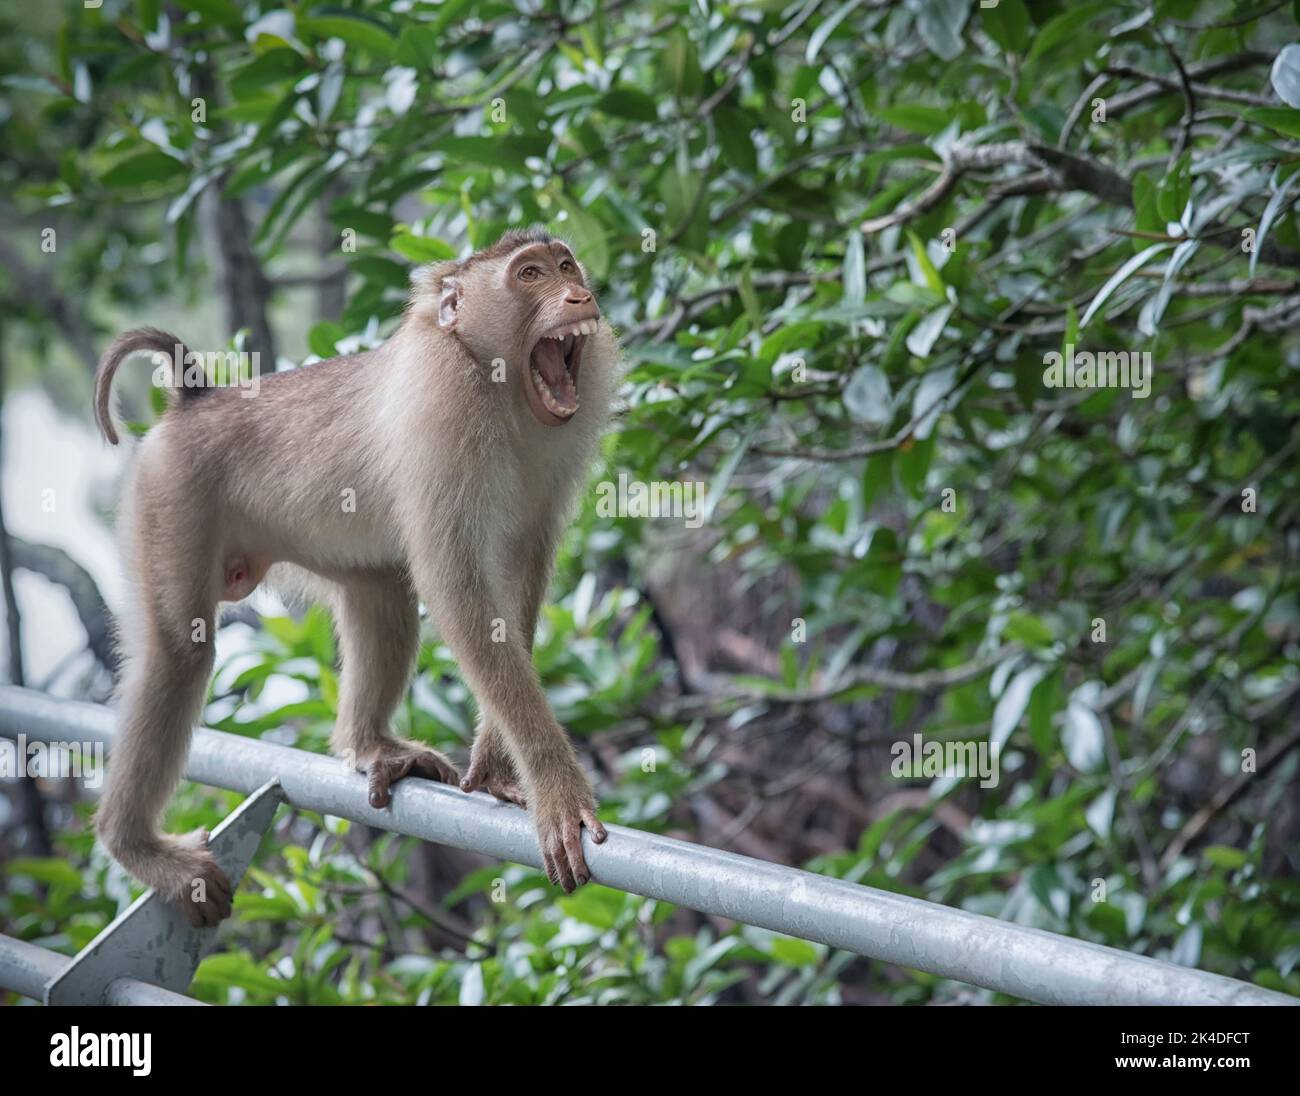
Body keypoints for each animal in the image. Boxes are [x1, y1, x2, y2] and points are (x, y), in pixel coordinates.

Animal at [92, 229, 618, 926]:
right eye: (529, 274)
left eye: (565, 264)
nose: (580, 294)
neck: (494, 379)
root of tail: (194, 399)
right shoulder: (443, 410)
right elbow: (456, 590)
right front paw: (556, 791)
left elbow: (520, 575)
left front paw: (497, 762)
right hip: (168, 498)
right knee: (180, 654)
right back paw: (137, 848)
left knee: (381, 594)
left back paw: (369, 746)